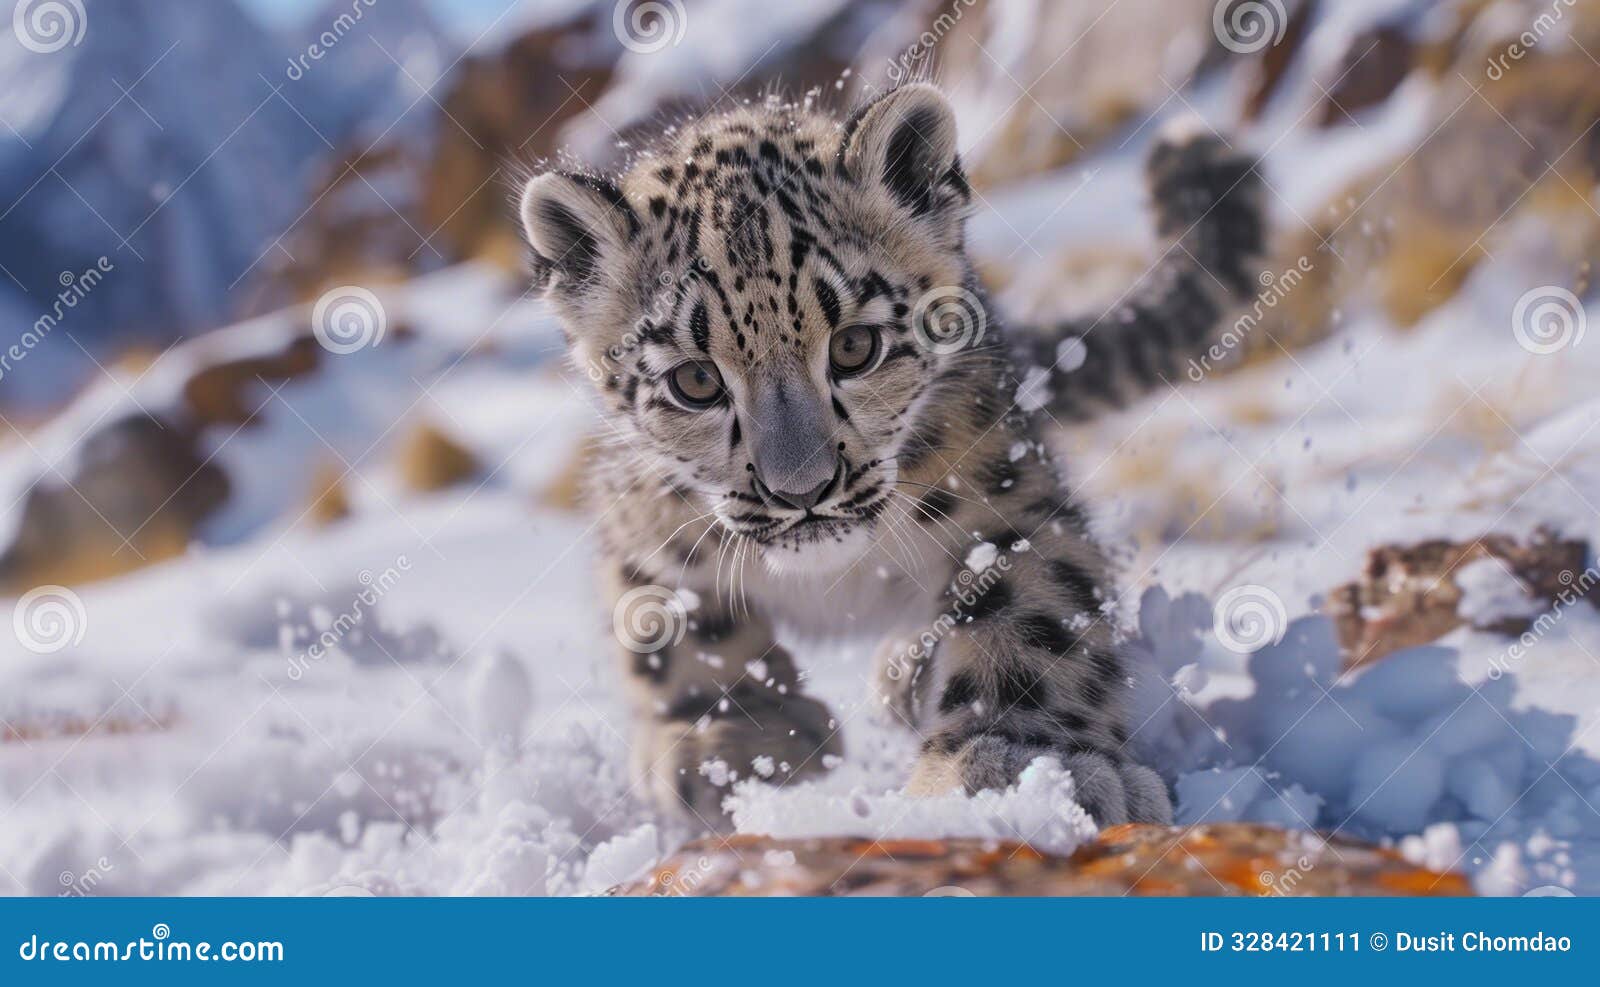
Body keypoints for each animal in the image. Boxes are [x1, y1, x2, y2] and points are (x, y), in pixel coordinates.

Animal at [518, 83, 1265, 830]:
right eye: (695, 380)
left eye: (855, 346)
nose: (802, 491)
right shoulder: (645, 520)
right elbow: (669, 620)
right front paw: (734, 736)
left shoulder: (1006, 497)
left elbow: (1035, 610)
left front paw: (1020, 766)